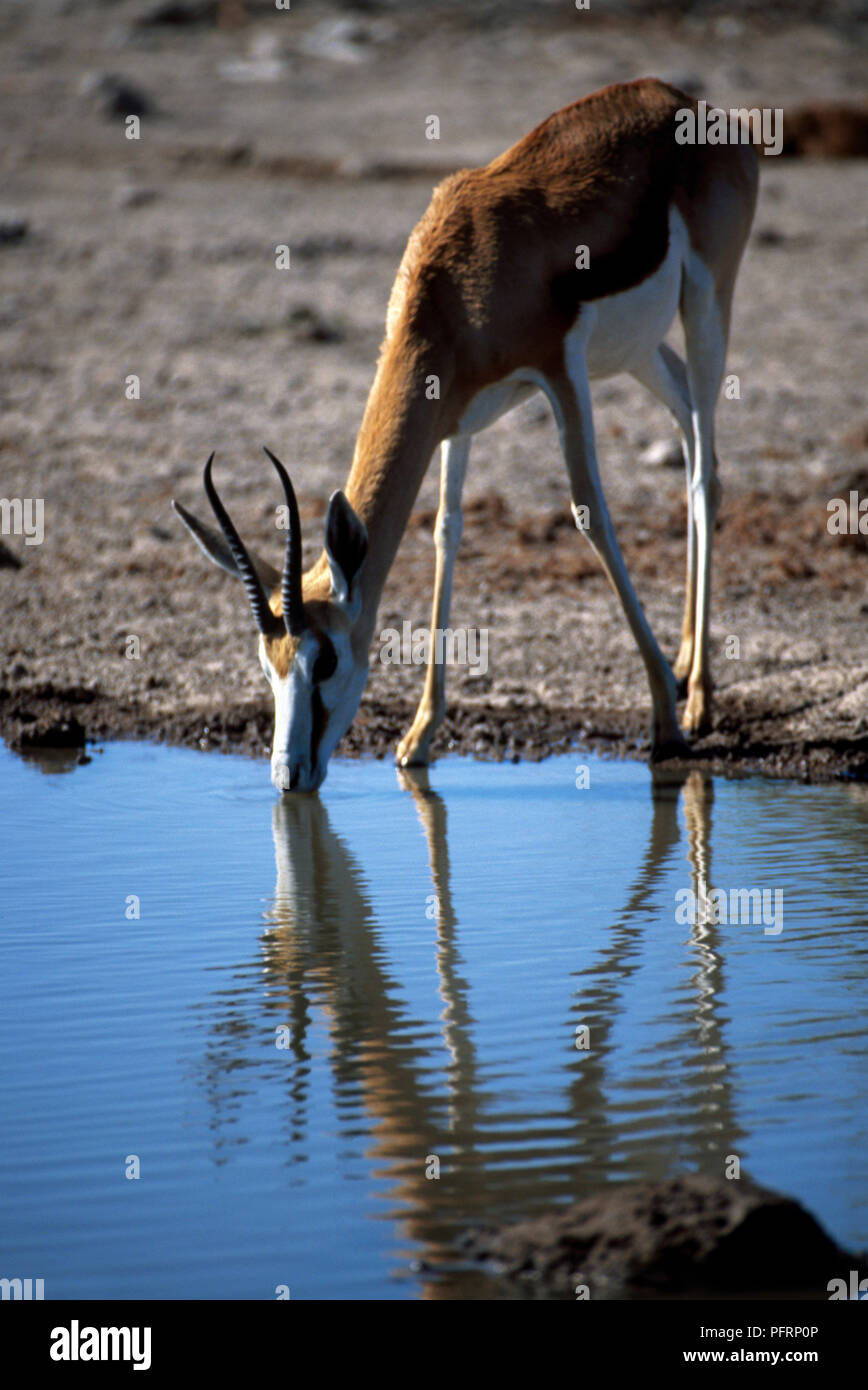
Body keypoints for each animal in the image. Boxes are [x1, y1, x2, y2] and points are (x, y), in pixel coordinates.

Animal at [173, 78, 758, 793]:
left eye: (327, 658)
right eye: (268, 664)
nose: (289, 775)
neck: (461, 277)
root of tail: (689, 105)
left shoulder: (561, 372)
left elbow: (589, 513)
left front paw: (665, 728)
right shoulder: (456, 419)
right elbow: (446, 535)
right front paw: (418, 738)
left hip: (705, 306)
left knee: (704, 474)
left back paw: (696, 698)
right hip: (640, 353)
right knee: (693, 435)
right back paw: (683, 667)